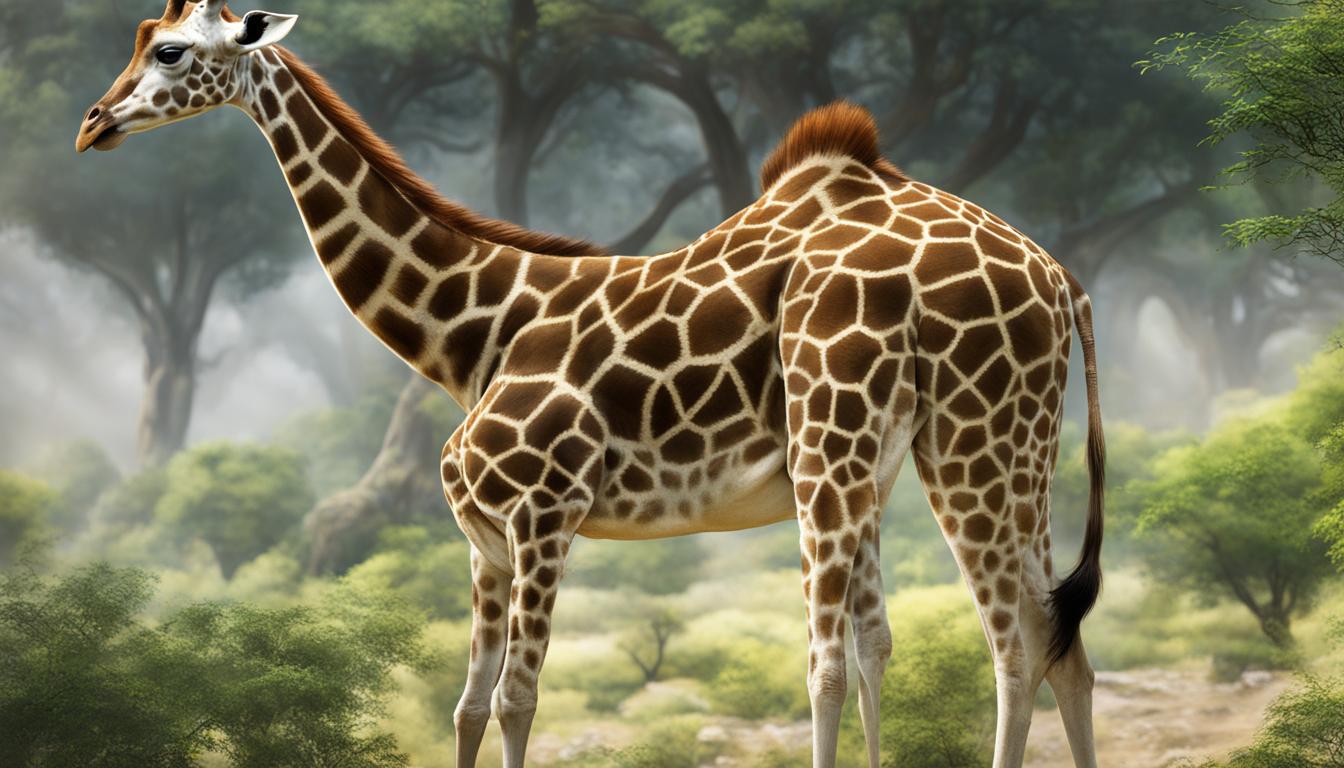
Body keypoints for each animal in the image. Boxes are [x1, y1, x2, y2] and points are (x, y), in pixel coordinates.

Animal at [76, 3, 1107, 767]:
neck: (474, 335)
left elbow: (520, 700)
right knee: (1047, 648)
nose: (93, 124)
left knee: (965, 649)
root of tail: (1062, 279)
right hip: (987, 449)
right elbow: (467, 705)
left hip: (880, 448)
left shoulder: (544, 514)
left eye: (169, 49)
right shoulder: (485, 542)